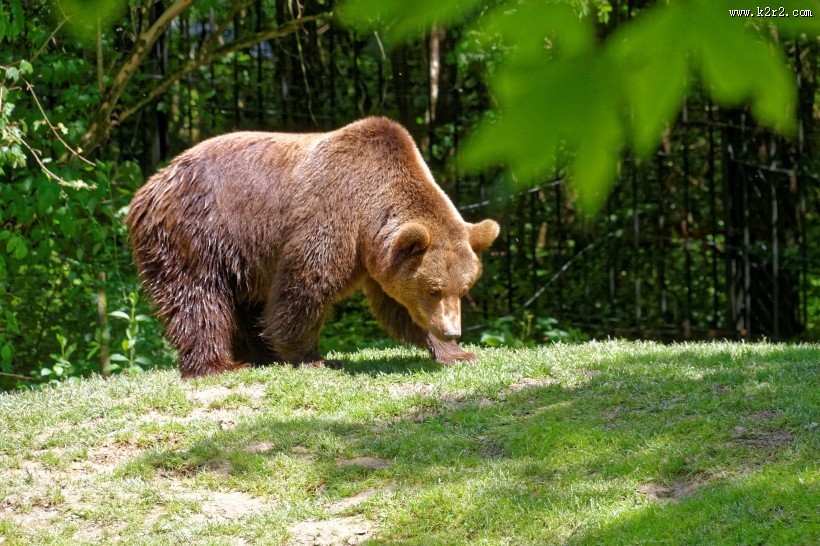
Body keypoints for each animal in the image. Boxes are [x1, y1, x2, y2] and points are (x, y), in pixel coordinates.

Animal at [126, 117, 500, 378]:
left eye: (463, 288)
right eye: (434, 289)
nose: (452, 329)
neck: (369, 213)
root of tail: (149, 187)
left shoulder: (382, 258)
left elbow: (398, 306)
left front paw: (456, 352)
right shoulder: (332, 214)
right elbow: (306, 285)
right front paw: (312, 357)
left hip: (241, 257)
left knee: (242, 303)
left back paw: (259, 356)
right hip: (199, 232)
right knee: (198, 298)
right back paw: (219, 365)